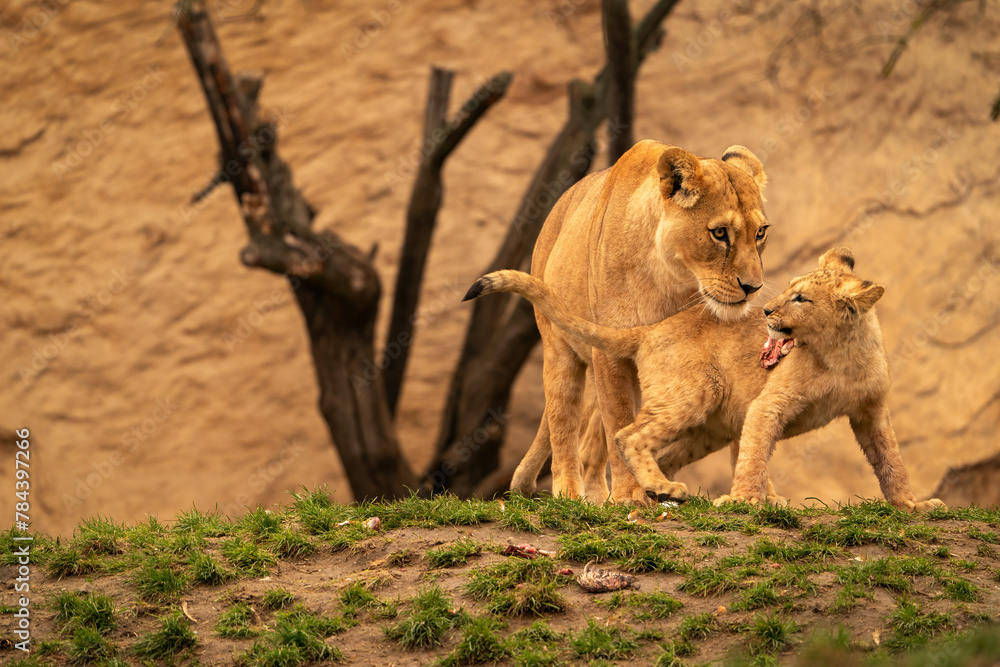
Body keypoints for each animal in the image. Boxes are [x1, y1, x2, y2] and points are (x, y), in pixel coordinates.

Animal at [465, 246, 945, 512]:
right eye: (790, 289)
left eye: (802, 298)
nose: (766, 312)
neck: (839, 352)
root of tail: (650, 329)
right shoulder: (768, 404)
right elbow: (754, 456)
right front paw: (744, 501)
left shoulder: (871, 412)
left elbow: (891, 461)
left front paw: (912, 505)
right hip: (697, 391)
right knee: (627, 434)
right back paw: (660, 488)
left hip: (708, 428)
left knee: (662, 449)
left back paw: (661, 493)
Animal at [516, 139, 770, 504]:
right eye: (720, 233)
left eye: (760, 232)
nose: (753, 288)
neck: (673, 279)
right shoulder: (611, 354)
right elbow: (620, 420)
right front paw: (630, 494)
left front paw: (751, 497)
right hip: (559, 348)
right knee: (564, 425)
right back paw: (571, 493)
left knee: (591, 446)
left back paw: (599, 497)